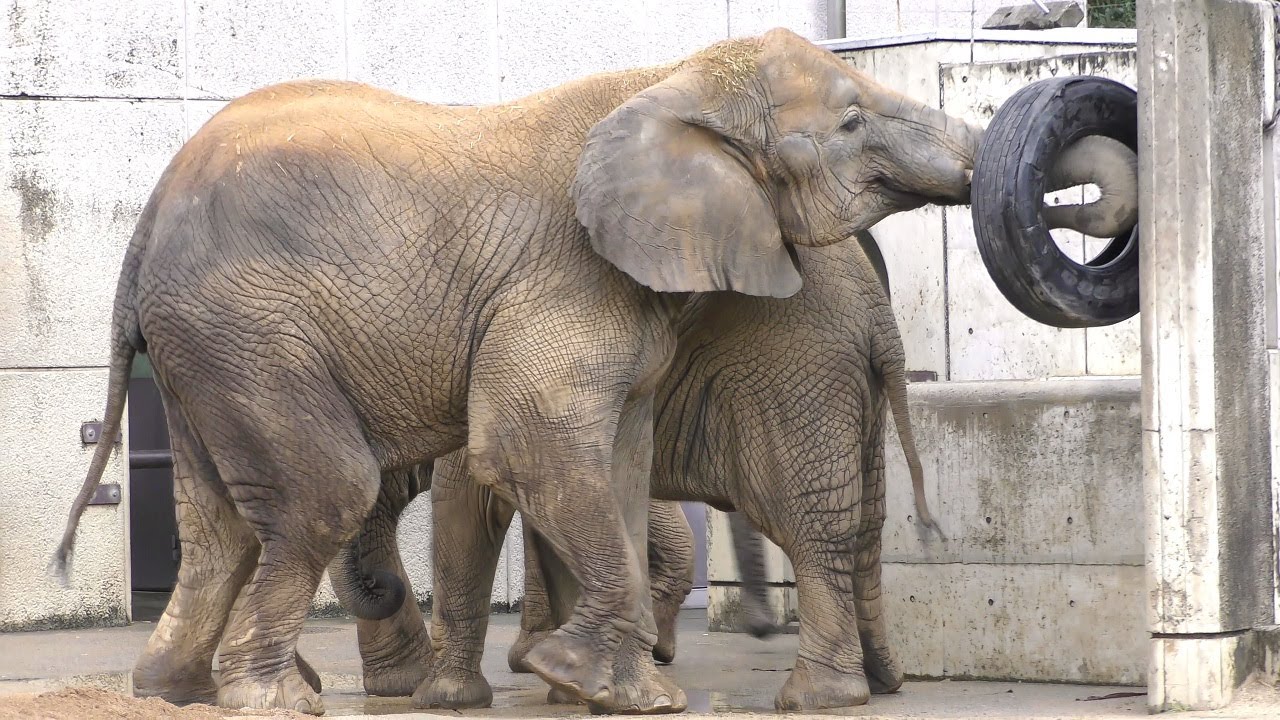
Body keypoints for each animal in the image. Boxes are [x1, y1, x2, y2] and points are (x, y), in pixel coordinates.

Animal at [53, 28, 984, 715]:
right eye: (853, 122)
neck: (671, 81)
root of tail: (144, 223)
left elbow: (613, 466)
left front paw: (609, 689)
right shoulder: (561, 279)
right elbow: (522, 450)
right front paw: (568, 682)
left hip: (210, 346)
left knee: (223, 524)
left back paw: (176, 692)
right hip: (245, 329)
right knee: (325, 491)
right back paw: (272, 701)